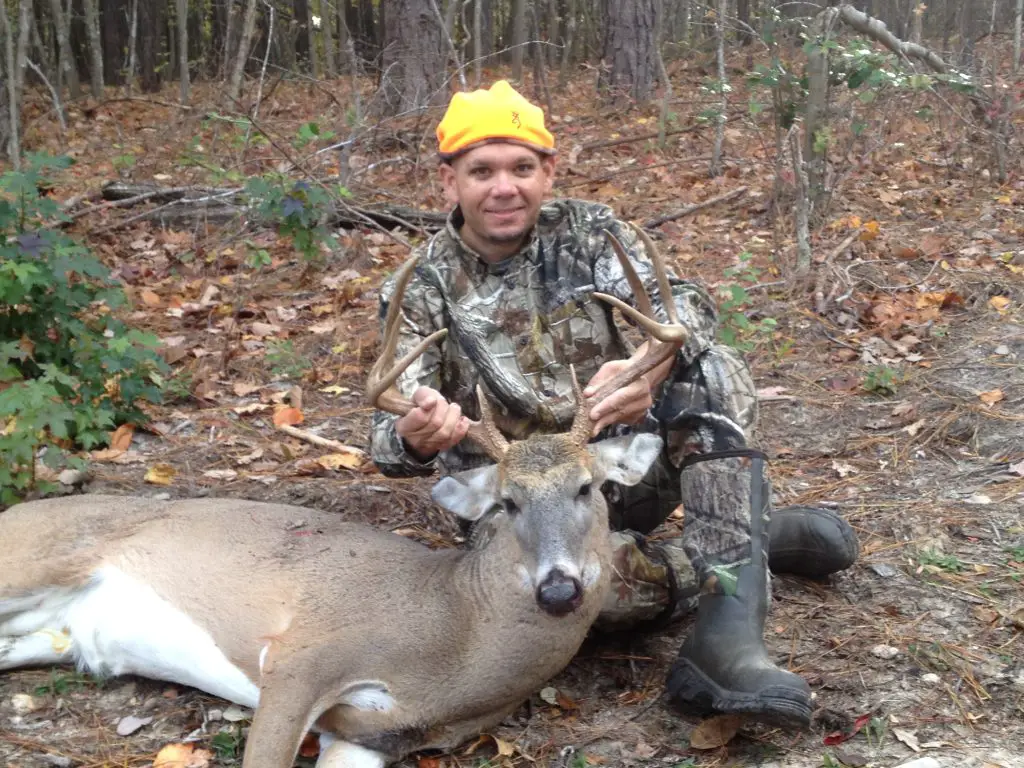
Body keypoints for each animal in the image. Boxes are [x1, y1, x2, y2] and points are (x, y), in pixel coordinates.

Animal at [0, 227, 688, 768]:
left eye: (588, 487)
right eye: (507, 502)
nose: (558, 589)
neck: (456, 641)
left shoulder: (374, 735)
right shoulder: (303, 655)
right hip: (30, 560)